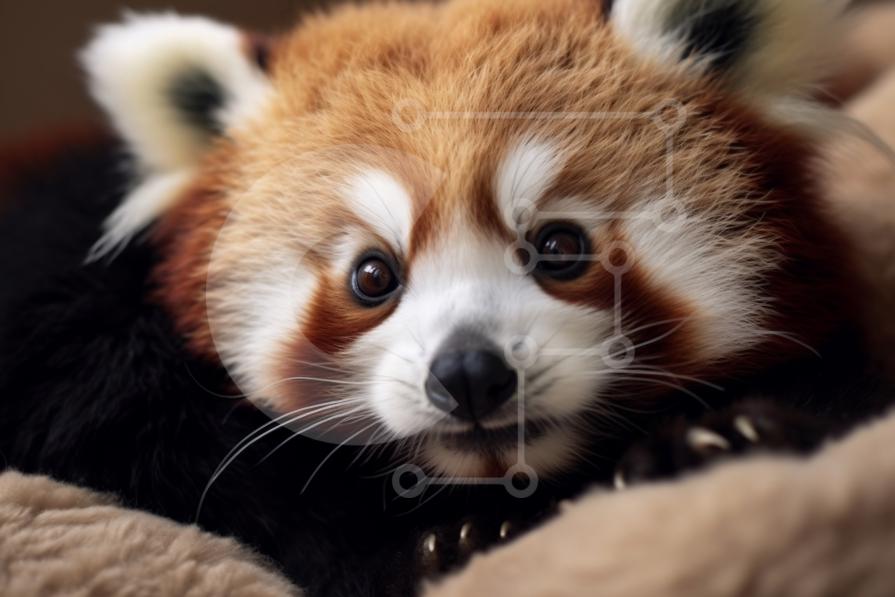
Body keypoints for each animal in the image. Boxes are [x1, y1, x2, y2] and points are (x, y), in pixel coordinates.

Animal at [0, 0, 889, 596]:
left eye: (558, 246)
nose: (468, 374)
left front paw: (721, 435)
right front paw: (435, 545)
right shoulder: (88, 343)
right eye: (372, 275)